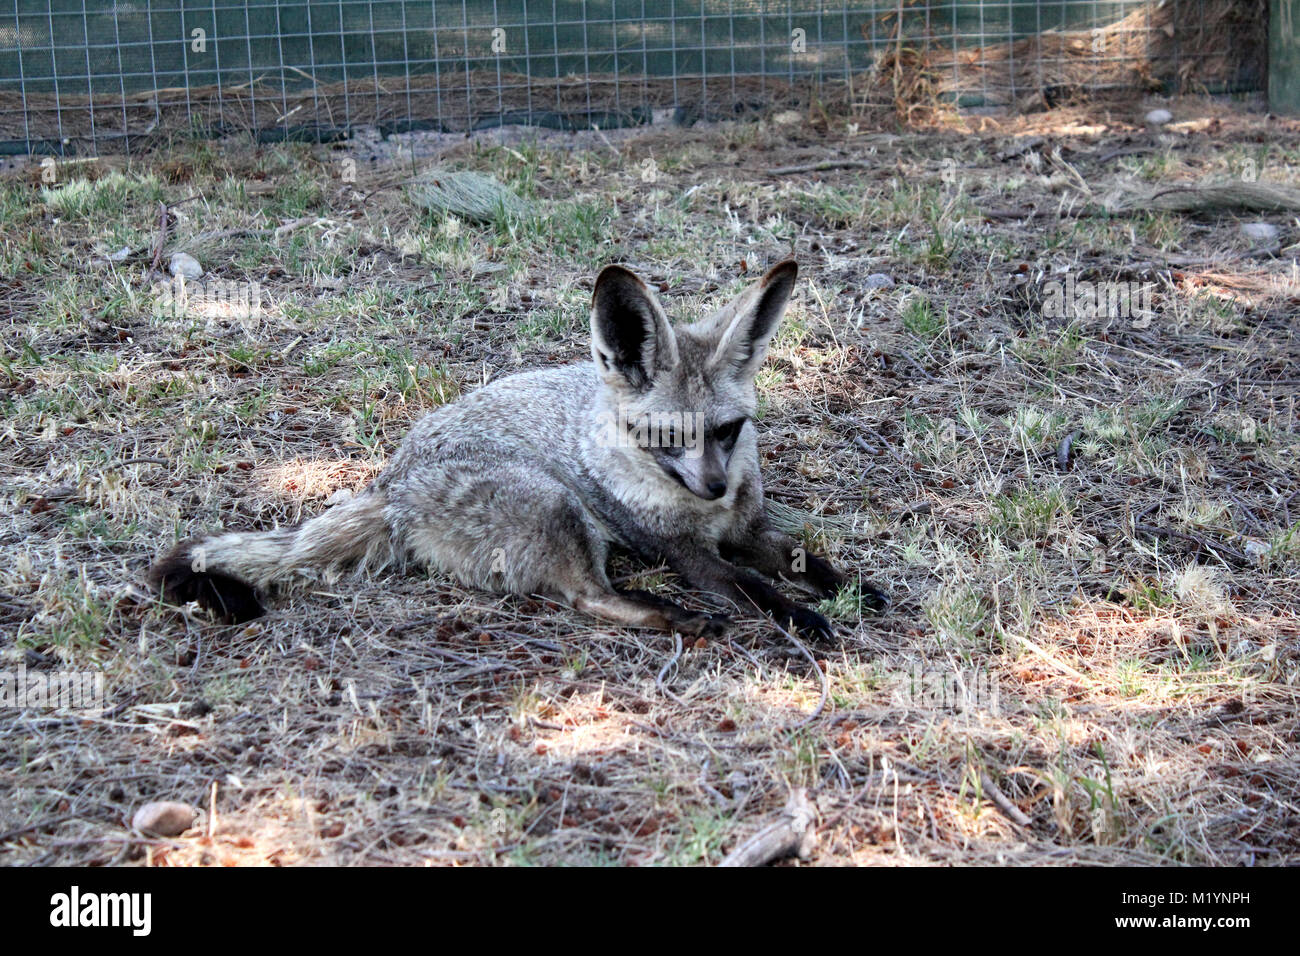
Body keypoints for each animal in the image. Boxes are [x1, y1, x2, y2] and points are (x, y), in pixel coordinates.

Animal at [149, 258, 888, 639]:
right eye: (665, 438)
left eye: (728, 431)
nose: (713, 488)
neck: (704, 517)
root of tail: (390, 484)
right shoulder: (684, 553)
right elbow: (753, 586)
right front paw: (800, 615)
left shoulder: (749, 528)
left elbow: (803, 558)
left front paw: (847, 588)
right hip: (559, 507)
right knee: (588, 597)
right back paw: (672, 616)